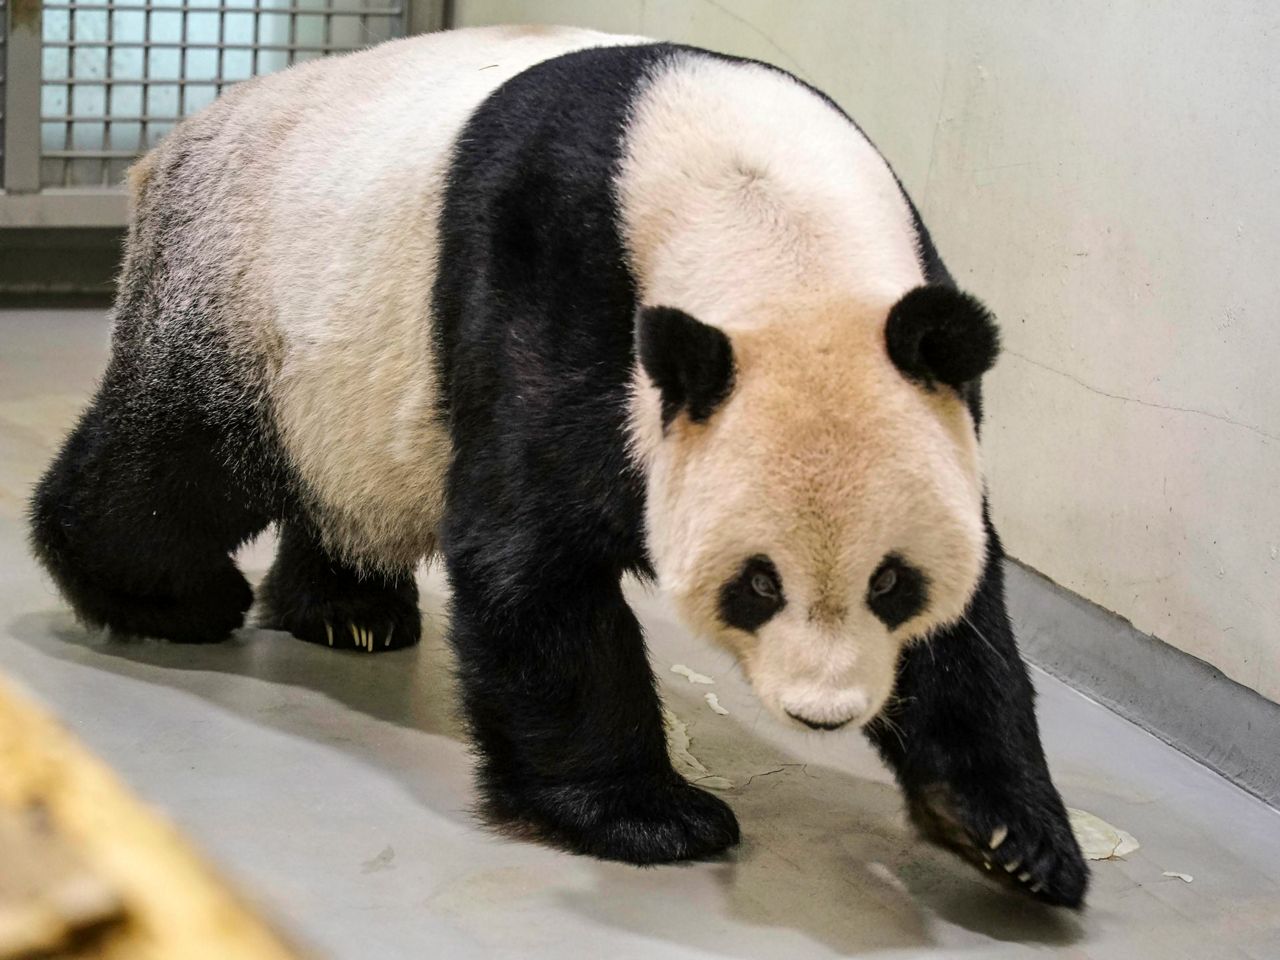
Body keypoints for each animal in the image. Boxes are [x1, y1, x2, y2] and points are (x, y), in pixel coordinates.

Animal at [29, 25, 1088, 905]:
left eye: (891, 583)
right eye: (758, 584)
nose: (822, 713)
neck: (769, 223)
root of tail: (172, 141)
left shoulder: (925, 373)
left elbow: (975, 612)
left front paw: (1009, 836)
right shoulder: (557, 282)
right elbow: (529, 558)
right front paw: (652, 816)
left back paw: (349, 611)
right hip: (242, 300)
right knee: (177, 468)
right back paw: (170, 599)